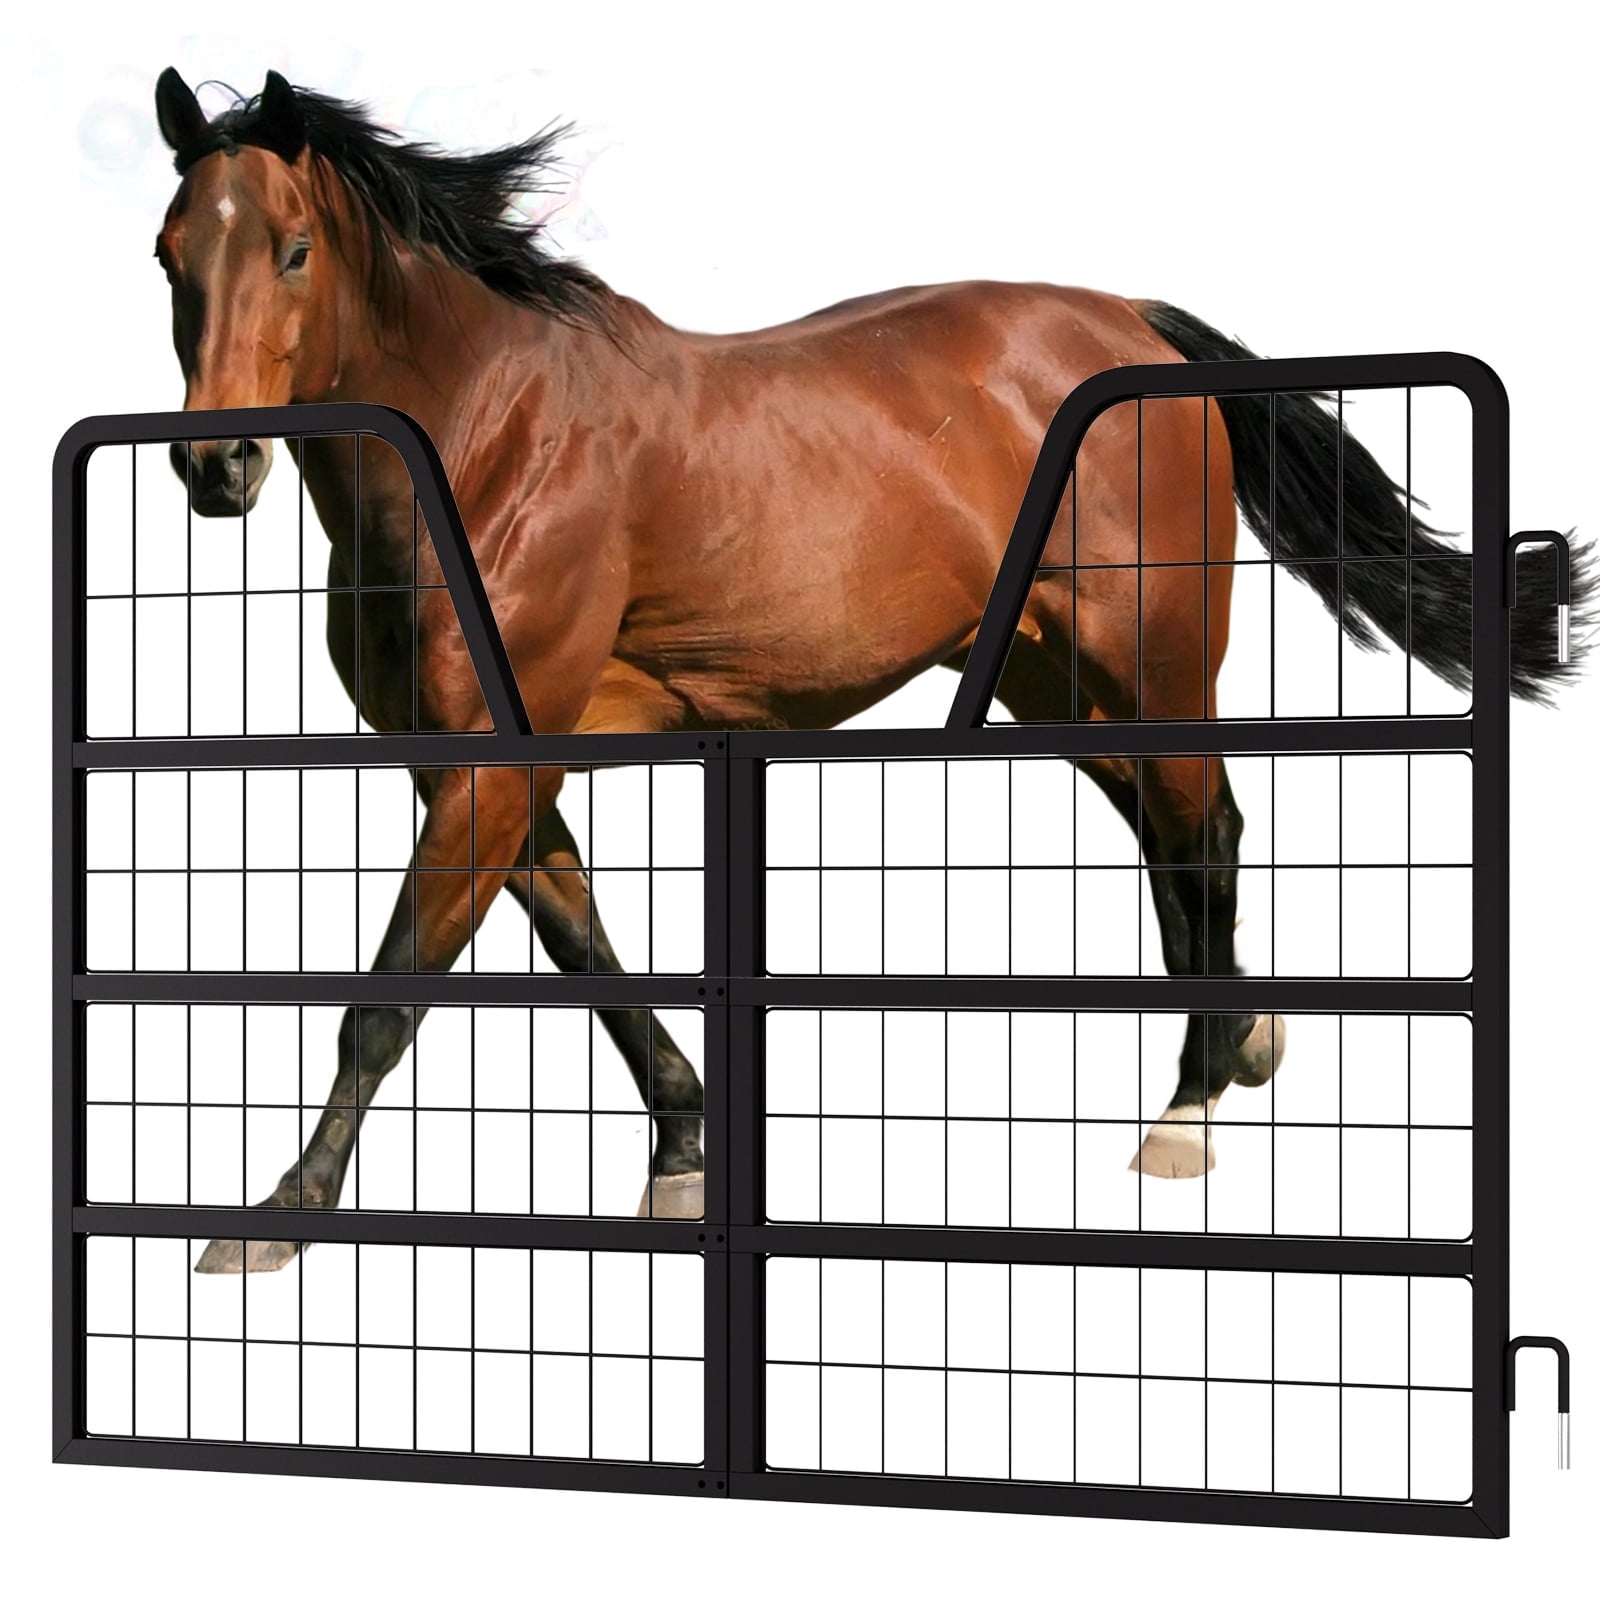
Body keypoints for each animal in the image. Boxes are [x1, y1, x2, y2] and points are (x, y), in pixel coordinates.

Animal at [149, 68, 1579, 1272]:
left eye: (291, 248)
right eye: (170, 254)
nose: (217, 468)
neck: (496, 443)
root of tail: (1135, 326)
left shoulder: (492, 767)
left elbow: (387, 996)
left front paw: (273, 1217)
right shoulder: (484, 766)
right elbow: (584, 948)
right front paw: (683, 1150)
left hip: (1153, 663)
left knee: (1202, 831)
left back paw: (1187, 1112)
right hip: (1056, 689)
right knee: (1184, 835)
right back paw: (1243, 1047)